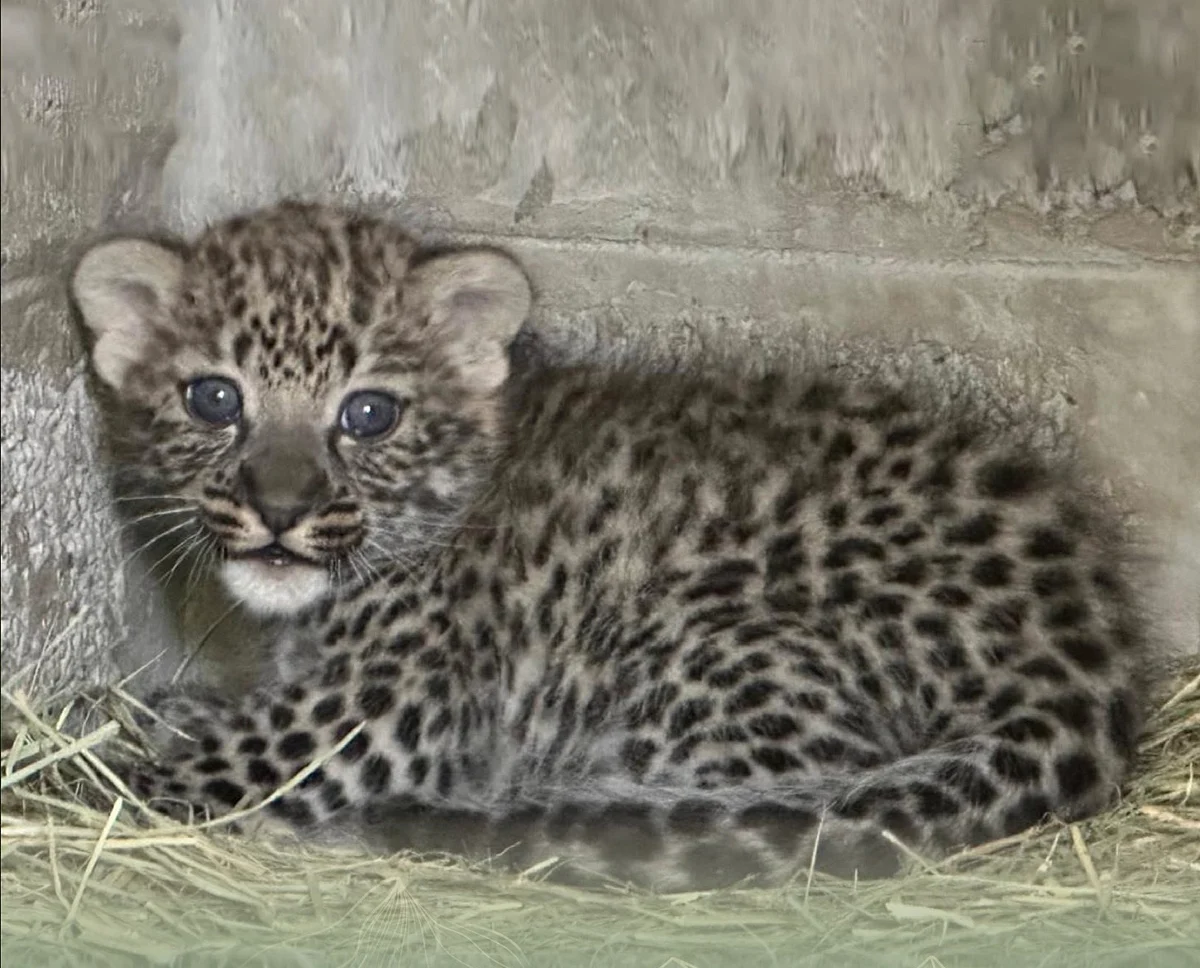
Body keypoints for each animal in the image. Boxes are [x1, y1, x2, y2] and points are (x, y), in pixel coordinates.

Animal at [69, 201, 1152, 891]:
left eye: (368, 414)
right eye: (215, 399)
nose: (281, 512)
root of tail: (1086, 653)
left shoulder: (392, 703)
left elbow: (231, 763)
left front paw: (83, 777)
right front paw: (168, 710)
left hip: (701, 646)